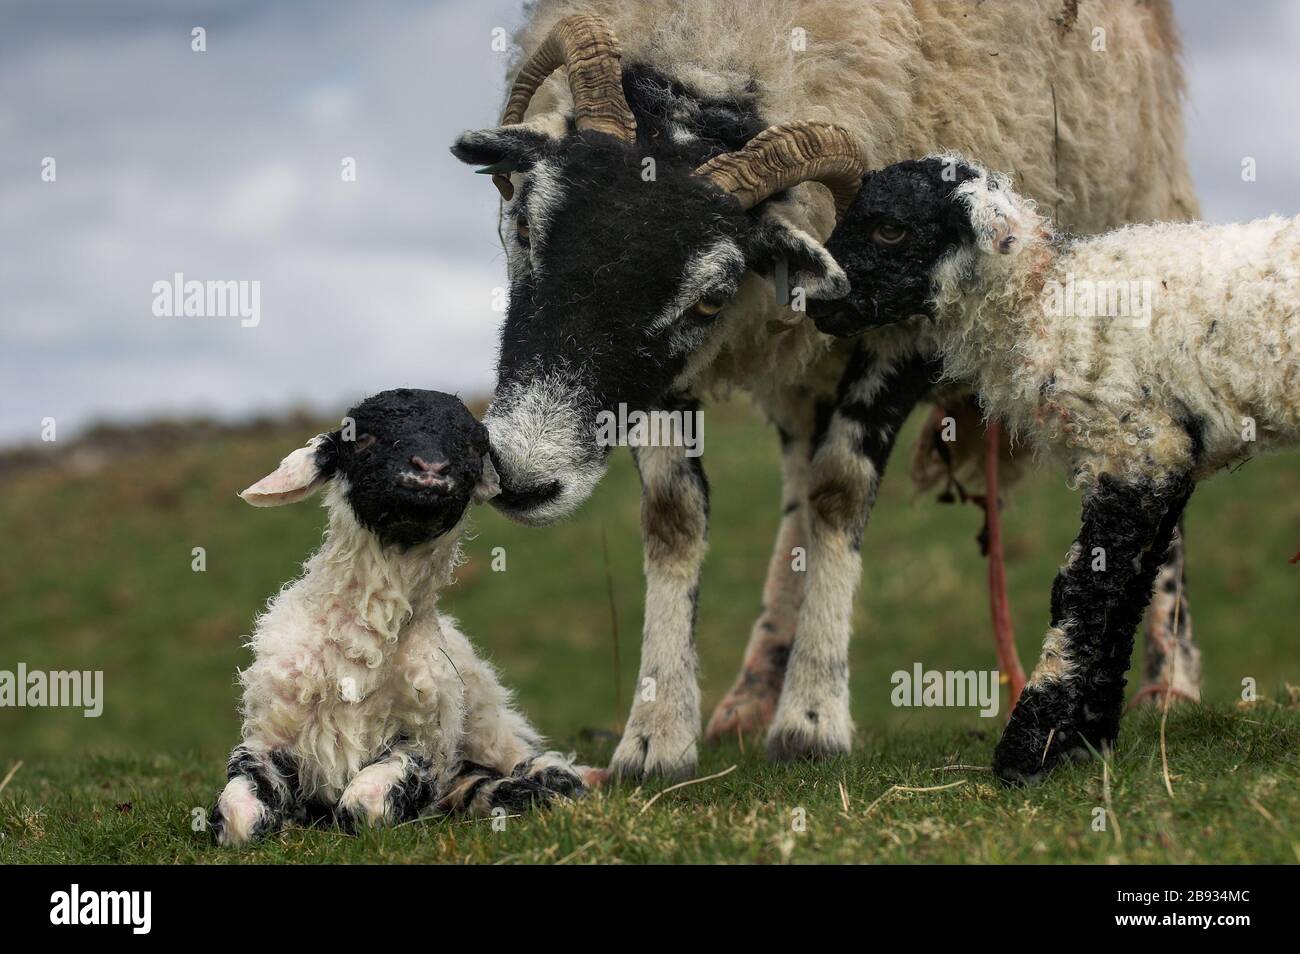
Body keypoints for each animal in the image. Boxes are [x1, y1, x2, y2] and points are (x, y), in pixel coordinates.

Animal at [210, 388, 586, 847]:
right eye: (361, 437)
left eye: (474, 445)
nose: (431, 469)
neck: (361, 645)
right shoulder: (268, 737)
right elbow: (239, 817)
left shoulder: (427, 743)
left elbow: (364, 804)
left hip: (486, 718)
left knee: (522, 752)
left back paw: (547, 781)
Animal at [451, 0, 1201, 779]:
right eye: (525, 227)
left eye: (708, 298)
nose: (521, 476)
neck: (728, 36)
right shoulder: (664, 376)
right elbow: (675, 514)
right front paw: (657, 735)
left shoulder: (910, 322)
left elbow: (840, 491)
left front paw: (812, 720)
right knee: (796, 490)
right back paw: (752, 693)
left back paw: (1170, 682)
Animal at [806, 153, 1299, 782]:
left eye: (889, 228)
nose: (812, 300)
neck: (1042, 299)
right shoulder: (1166, 455)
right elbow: (1128, 592)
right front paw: (1086, 741)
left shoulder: (1132, 444)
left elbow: (1083, 592)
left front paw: (1024, 754)